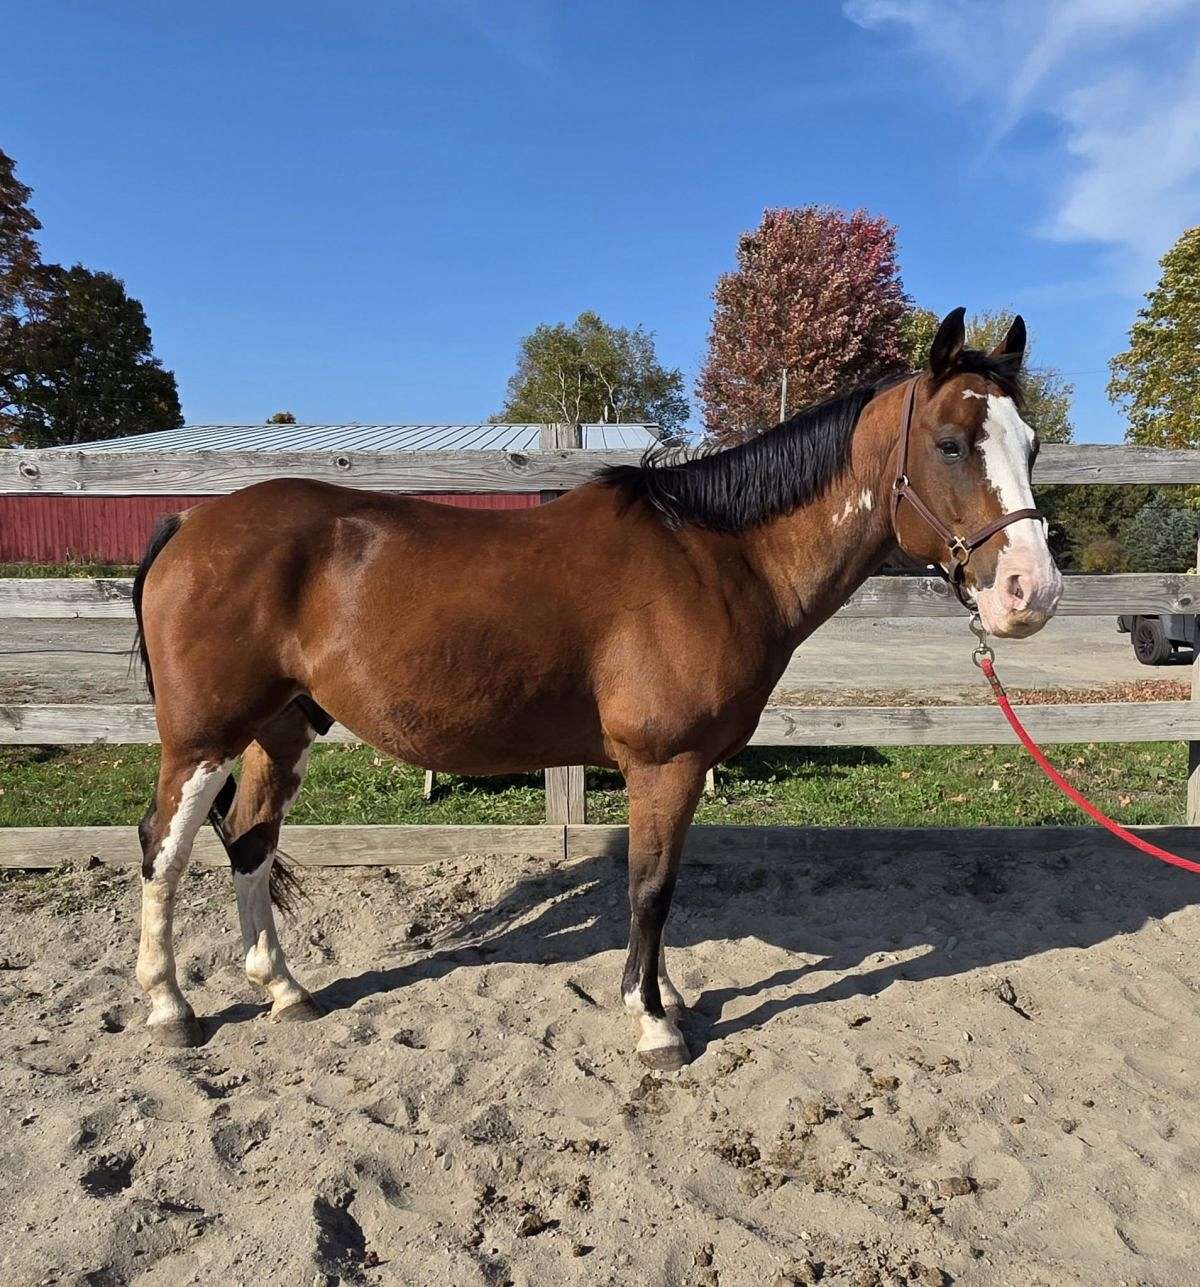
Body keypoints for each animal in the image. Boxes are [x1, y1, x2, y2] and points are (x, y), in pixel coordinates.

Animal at [130, 306, 1062, 1070]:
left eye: (1031, 446)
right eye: (950, 443)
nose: (1032, 592)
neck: (717, 555)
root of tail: (192, 520)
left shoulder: (675, 770)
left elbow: (663, 886)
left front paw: (662, 994)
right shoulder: (665, 762)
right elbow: (651, 889)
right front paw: (654, 1025)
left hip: (282, 726)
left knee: (250, 839)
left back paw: (284, 989)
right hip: (204, 736)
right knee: (163, 848)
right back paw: (170, 1007)